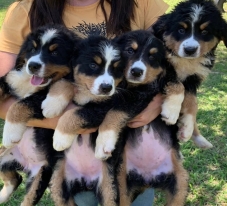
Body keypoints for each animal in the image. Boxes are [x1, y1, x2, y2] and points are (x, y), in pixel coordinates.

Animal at [0, 24, 77, 204]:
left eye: (55, 53)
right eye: (32, 49)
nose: (32, 65)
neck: (29, 83)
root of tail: (23, 163)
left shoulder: (39, 99)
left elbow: (19, 105)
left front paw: (10, 132)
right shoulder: (10, 79)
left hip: (42, 173)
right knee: (14, 179)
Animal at [152, 0, 227, 149]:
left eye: (204, 32)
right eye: (181, 30)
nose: (190, 50)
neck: (186, 61)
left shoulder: (194, 77)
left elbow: (193, 102)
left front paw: (187, 126)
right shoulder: (161, 69)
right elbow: (178, 85)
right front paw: (172, 111)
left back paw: (198, 138)